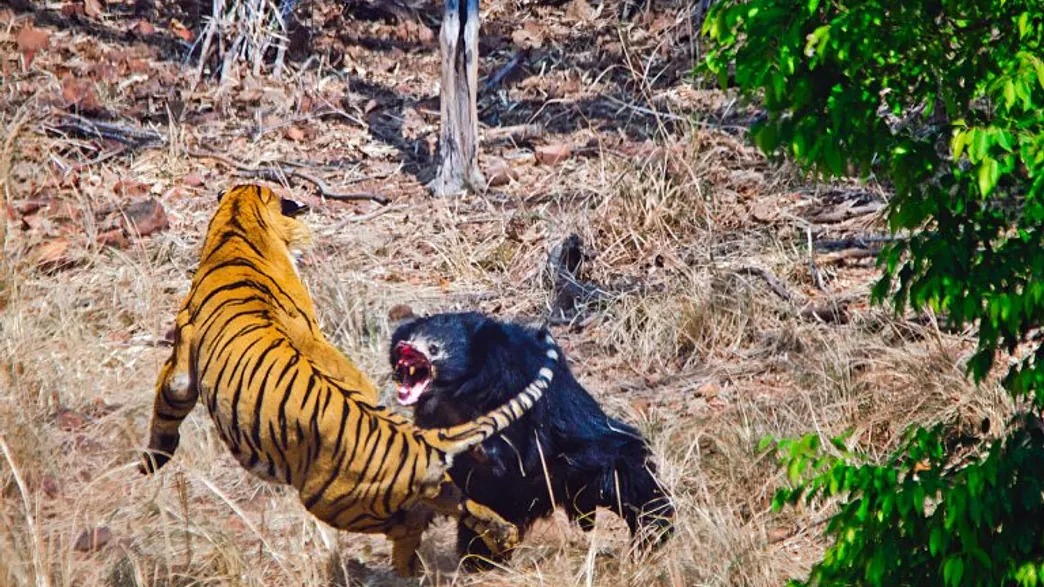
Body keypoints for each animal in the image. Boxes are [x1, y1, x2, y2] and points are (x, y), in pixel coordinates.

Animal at [139, 184, 560, 576]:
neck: (240, 226)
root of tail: (420, 439)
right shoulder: (313, 333)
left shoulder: (181, 361)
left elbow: (167, 403)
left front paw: (152, 461)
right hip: (430, 487)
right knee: (461, 504)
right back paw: (498, 535)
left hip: (331, 501)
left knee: (410, 522)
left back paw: (398, 568)